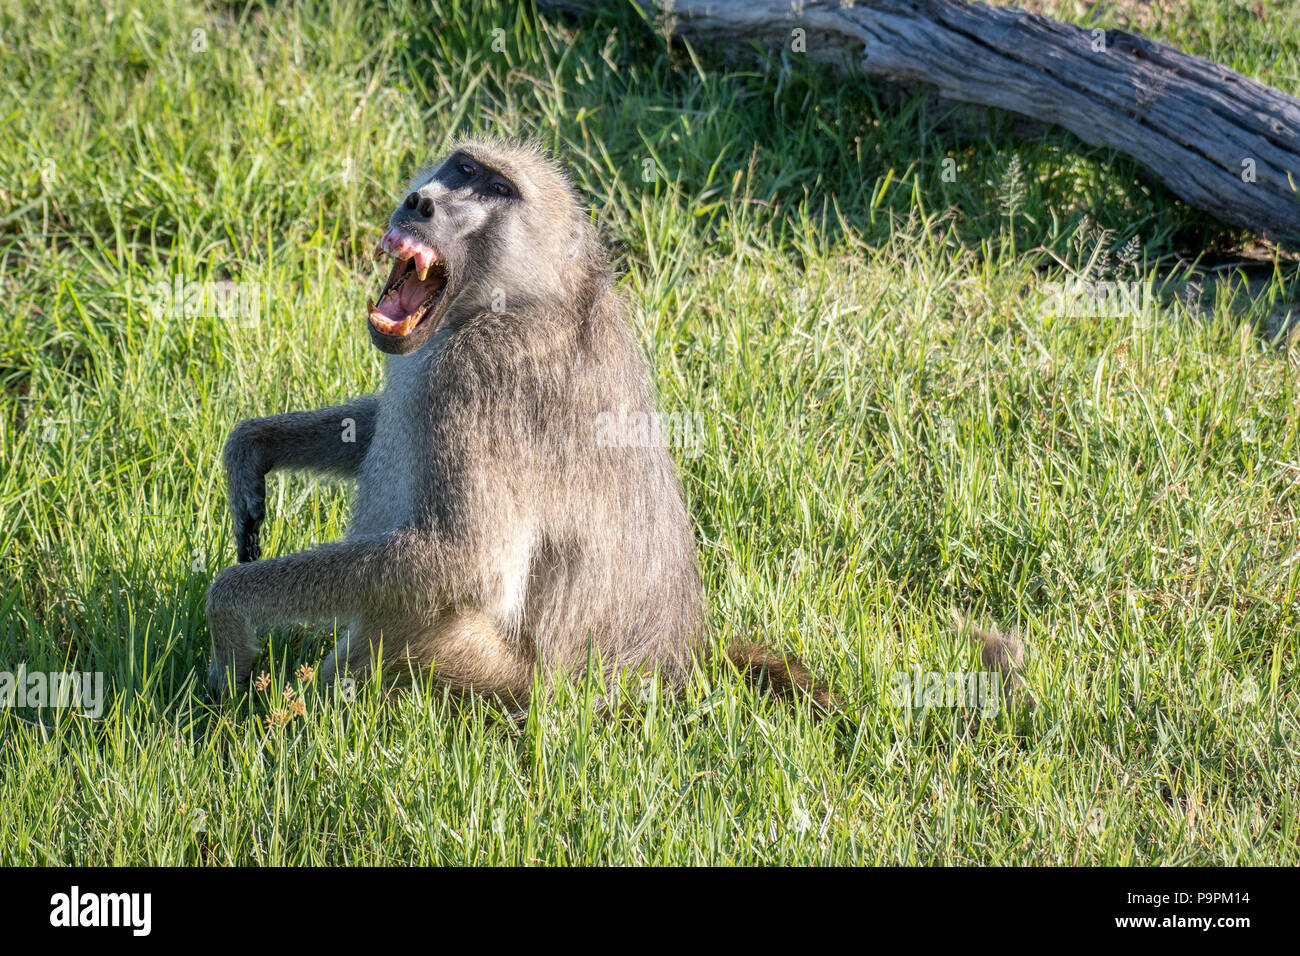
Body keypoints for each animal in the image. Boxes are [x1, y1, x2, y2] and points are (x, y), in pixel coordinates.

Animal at [204, 138, 831, 712]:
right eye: (463, 167)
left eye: (499, 189)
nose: (420, 201)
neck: (529, 298)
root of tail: (672, 665)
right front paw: (253, 448)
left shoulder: (478, 376)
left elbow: (467, 563)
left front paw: (228, 616)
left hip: (497, 673)